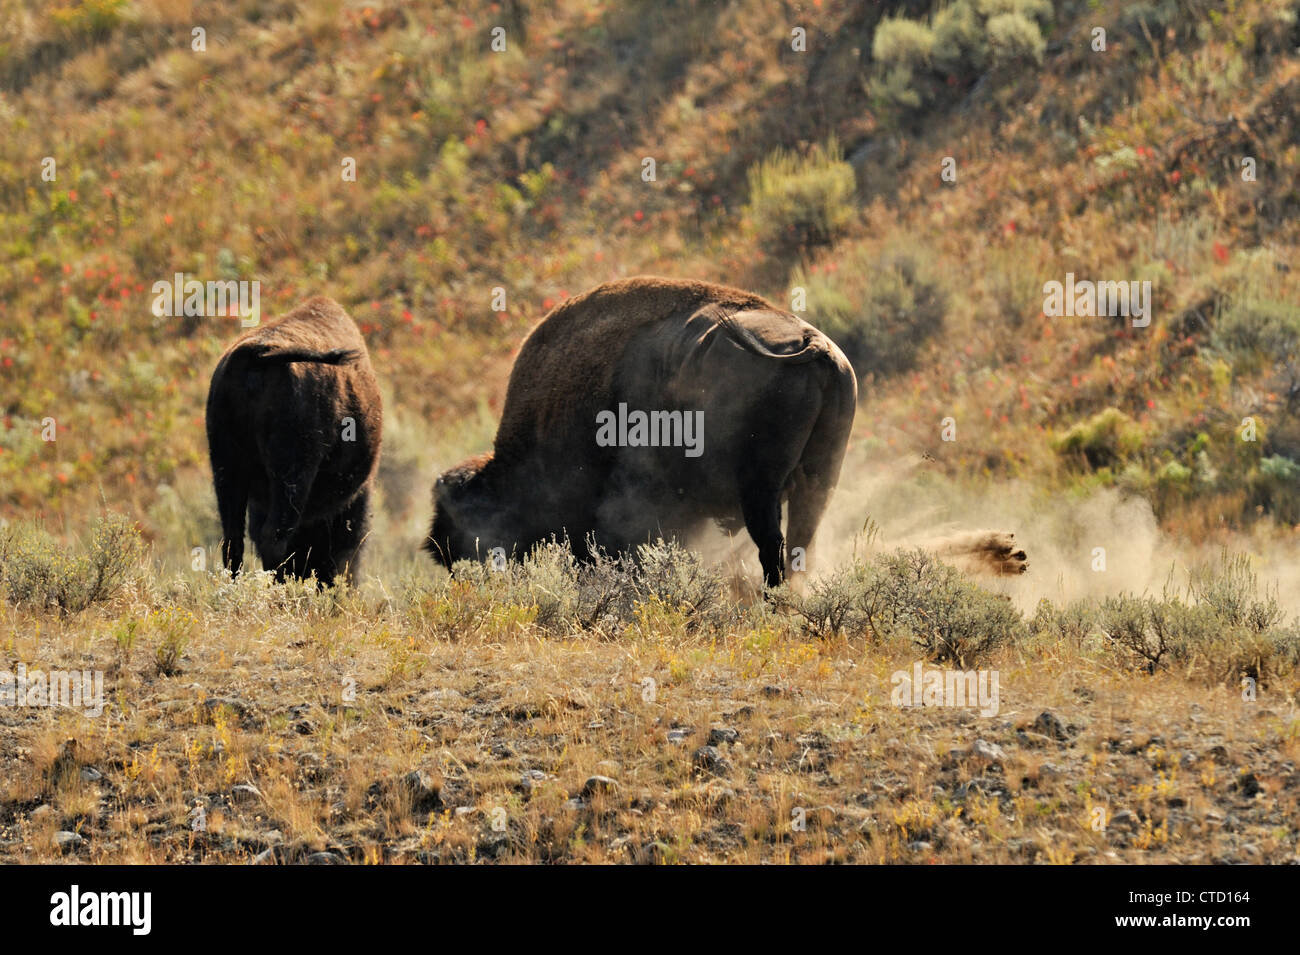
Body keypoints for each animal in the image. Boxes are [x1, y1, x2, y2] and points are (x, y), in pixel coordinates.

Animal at [424, 277, 857, 588]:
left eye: (464, 520)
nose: (440, 552)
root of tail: (812, 344)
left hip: (760, 488)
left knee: (772, 546)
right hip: (820, 479)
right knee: (801, 543)